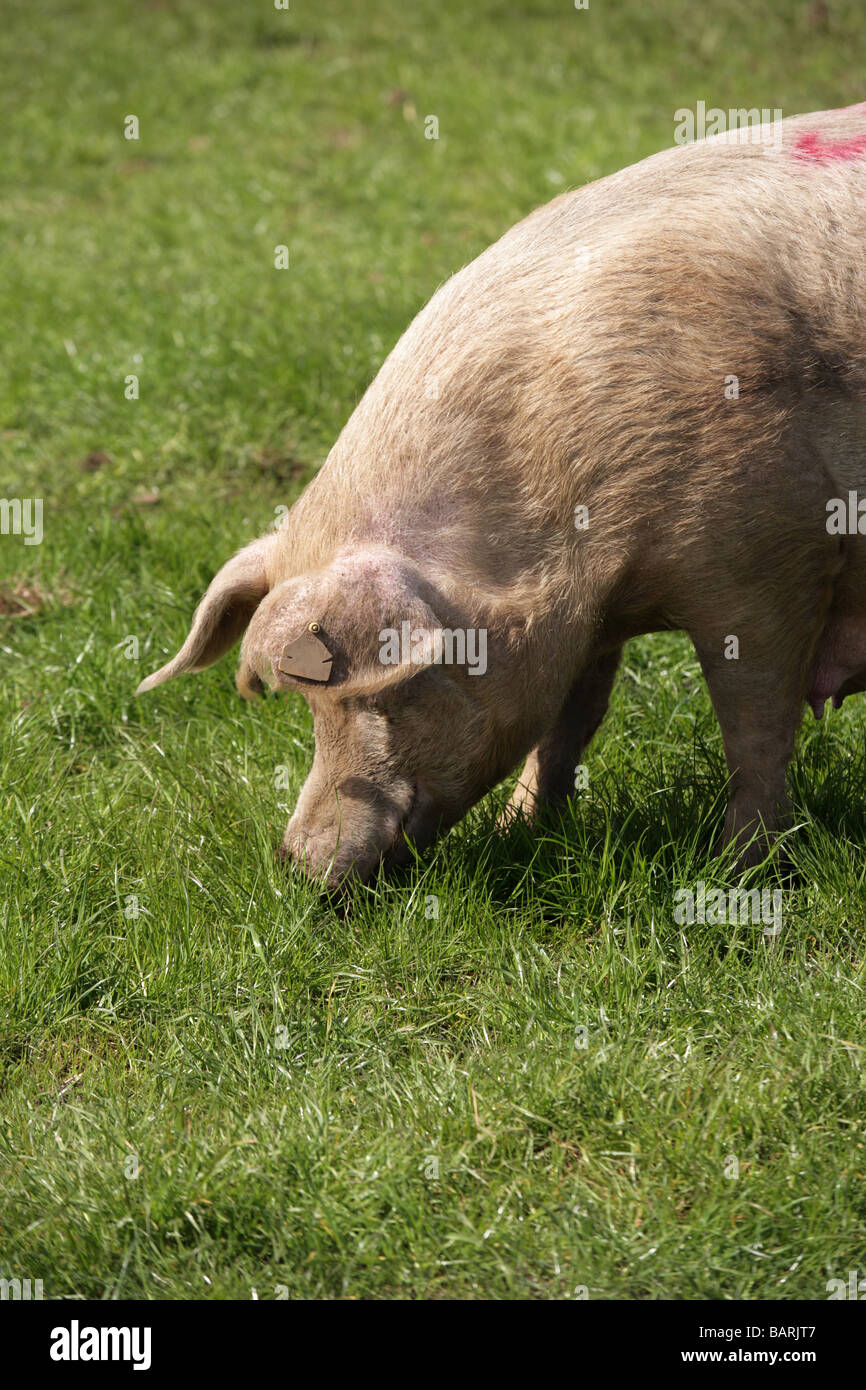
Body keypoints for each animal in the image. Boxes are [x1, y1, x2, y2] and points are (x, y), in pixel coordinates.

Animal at [138, 104, 866, 887]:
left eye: (389, 693)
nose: (297, 865)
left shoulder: (766, 564)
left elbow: (755, 726)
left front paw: (738, 871)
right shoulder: (583, 621)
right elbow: (567, 723)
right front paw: (521, 827)